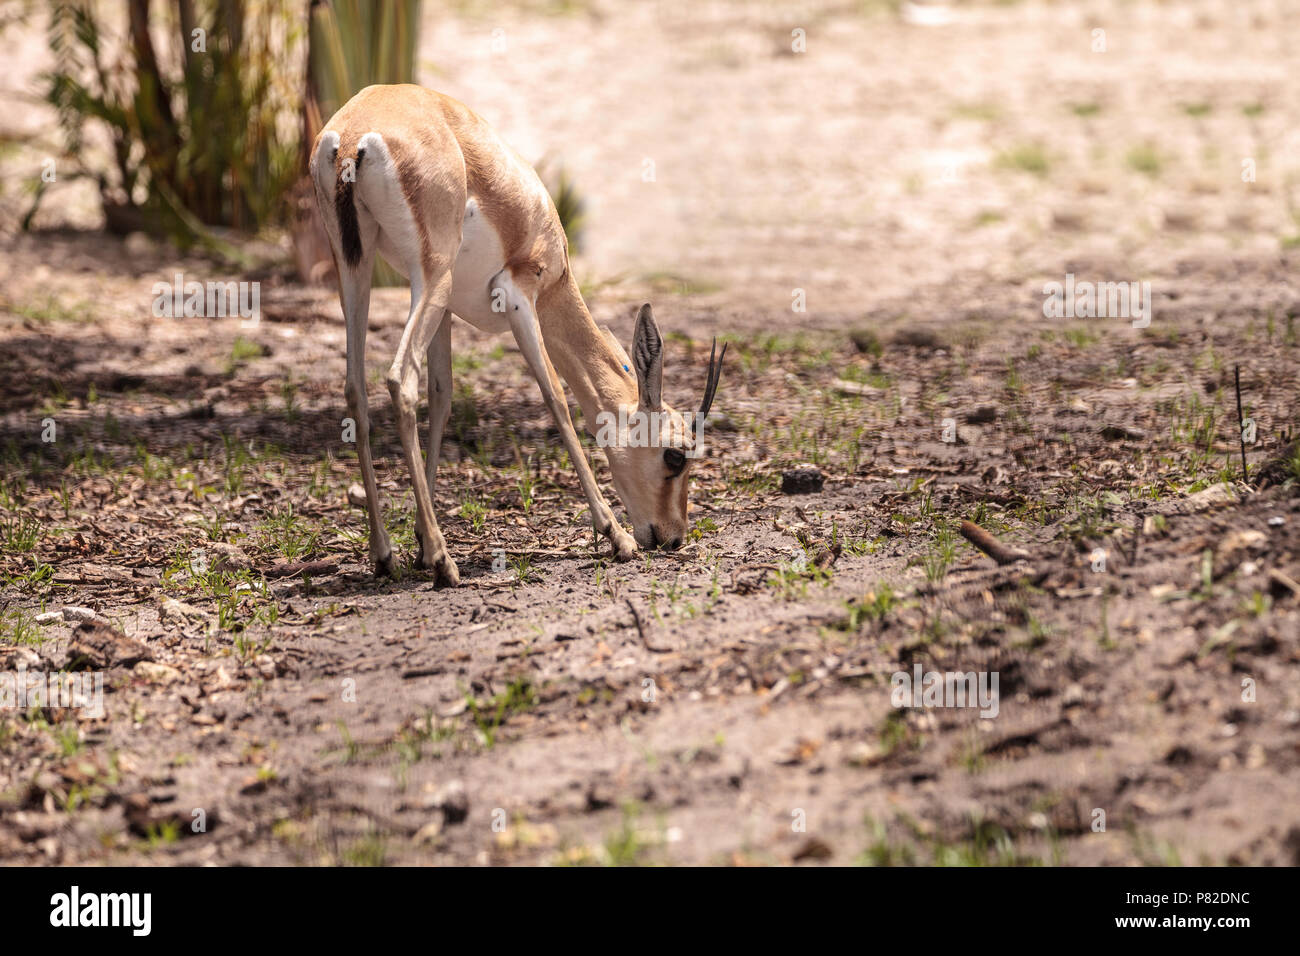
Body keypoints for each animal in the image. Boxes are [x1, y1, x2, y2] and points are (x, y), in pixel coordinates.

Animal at [310, 85, 725, 584]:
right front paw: (616, 536)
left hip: (360, 269)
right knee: (398, 378)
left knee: (356, 387)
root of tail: (355, 135)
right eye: (675, 455)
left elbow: (442, 397)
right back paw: (445, 564)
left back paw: (385, 554)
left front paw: (419, 543)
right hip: (431, 276)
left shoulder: (447, 313)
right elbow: (556, 398)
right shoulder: (519, 294)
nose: (672, 537)